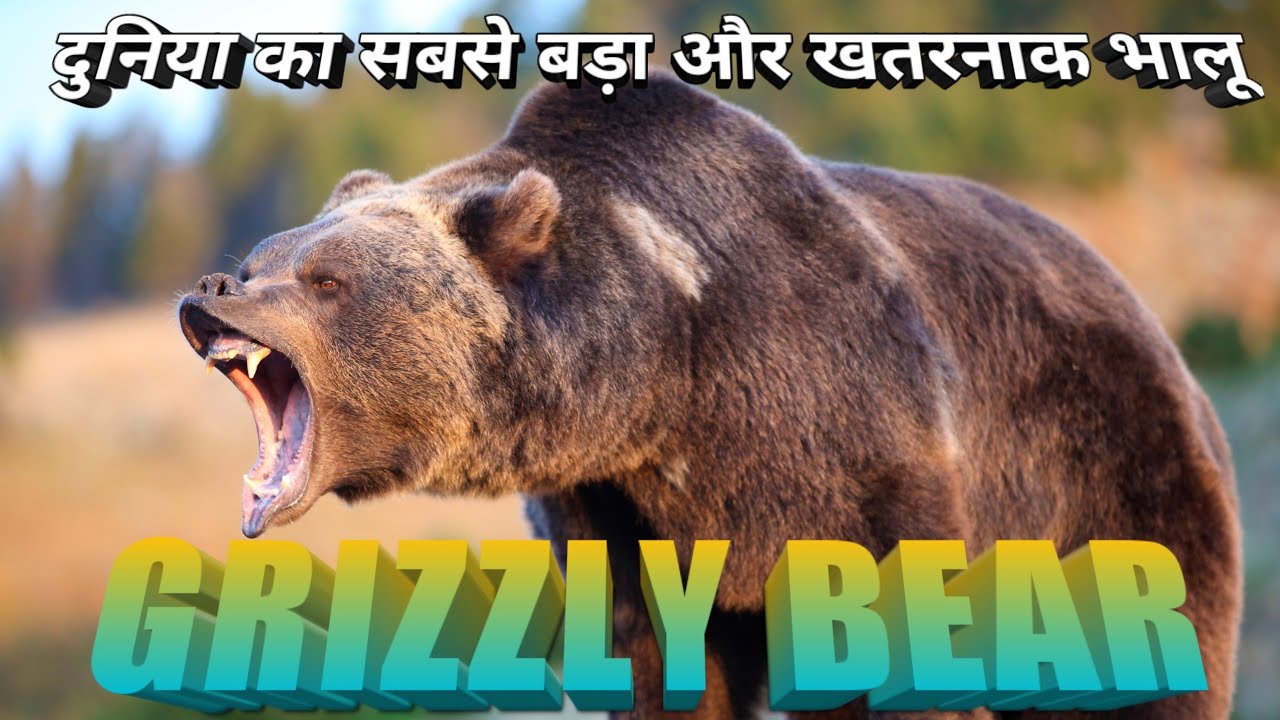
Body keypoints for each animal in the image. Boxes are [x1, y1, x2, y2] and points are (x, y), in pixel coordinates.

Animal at [178, 72, 1241, 719]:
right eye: (263, 258)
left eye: (325, 280)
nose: (211, 289)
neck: (666, 382)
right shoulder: (615, 509)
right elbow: (656, 660)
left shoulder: (859, 434)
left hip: (1110, 481)